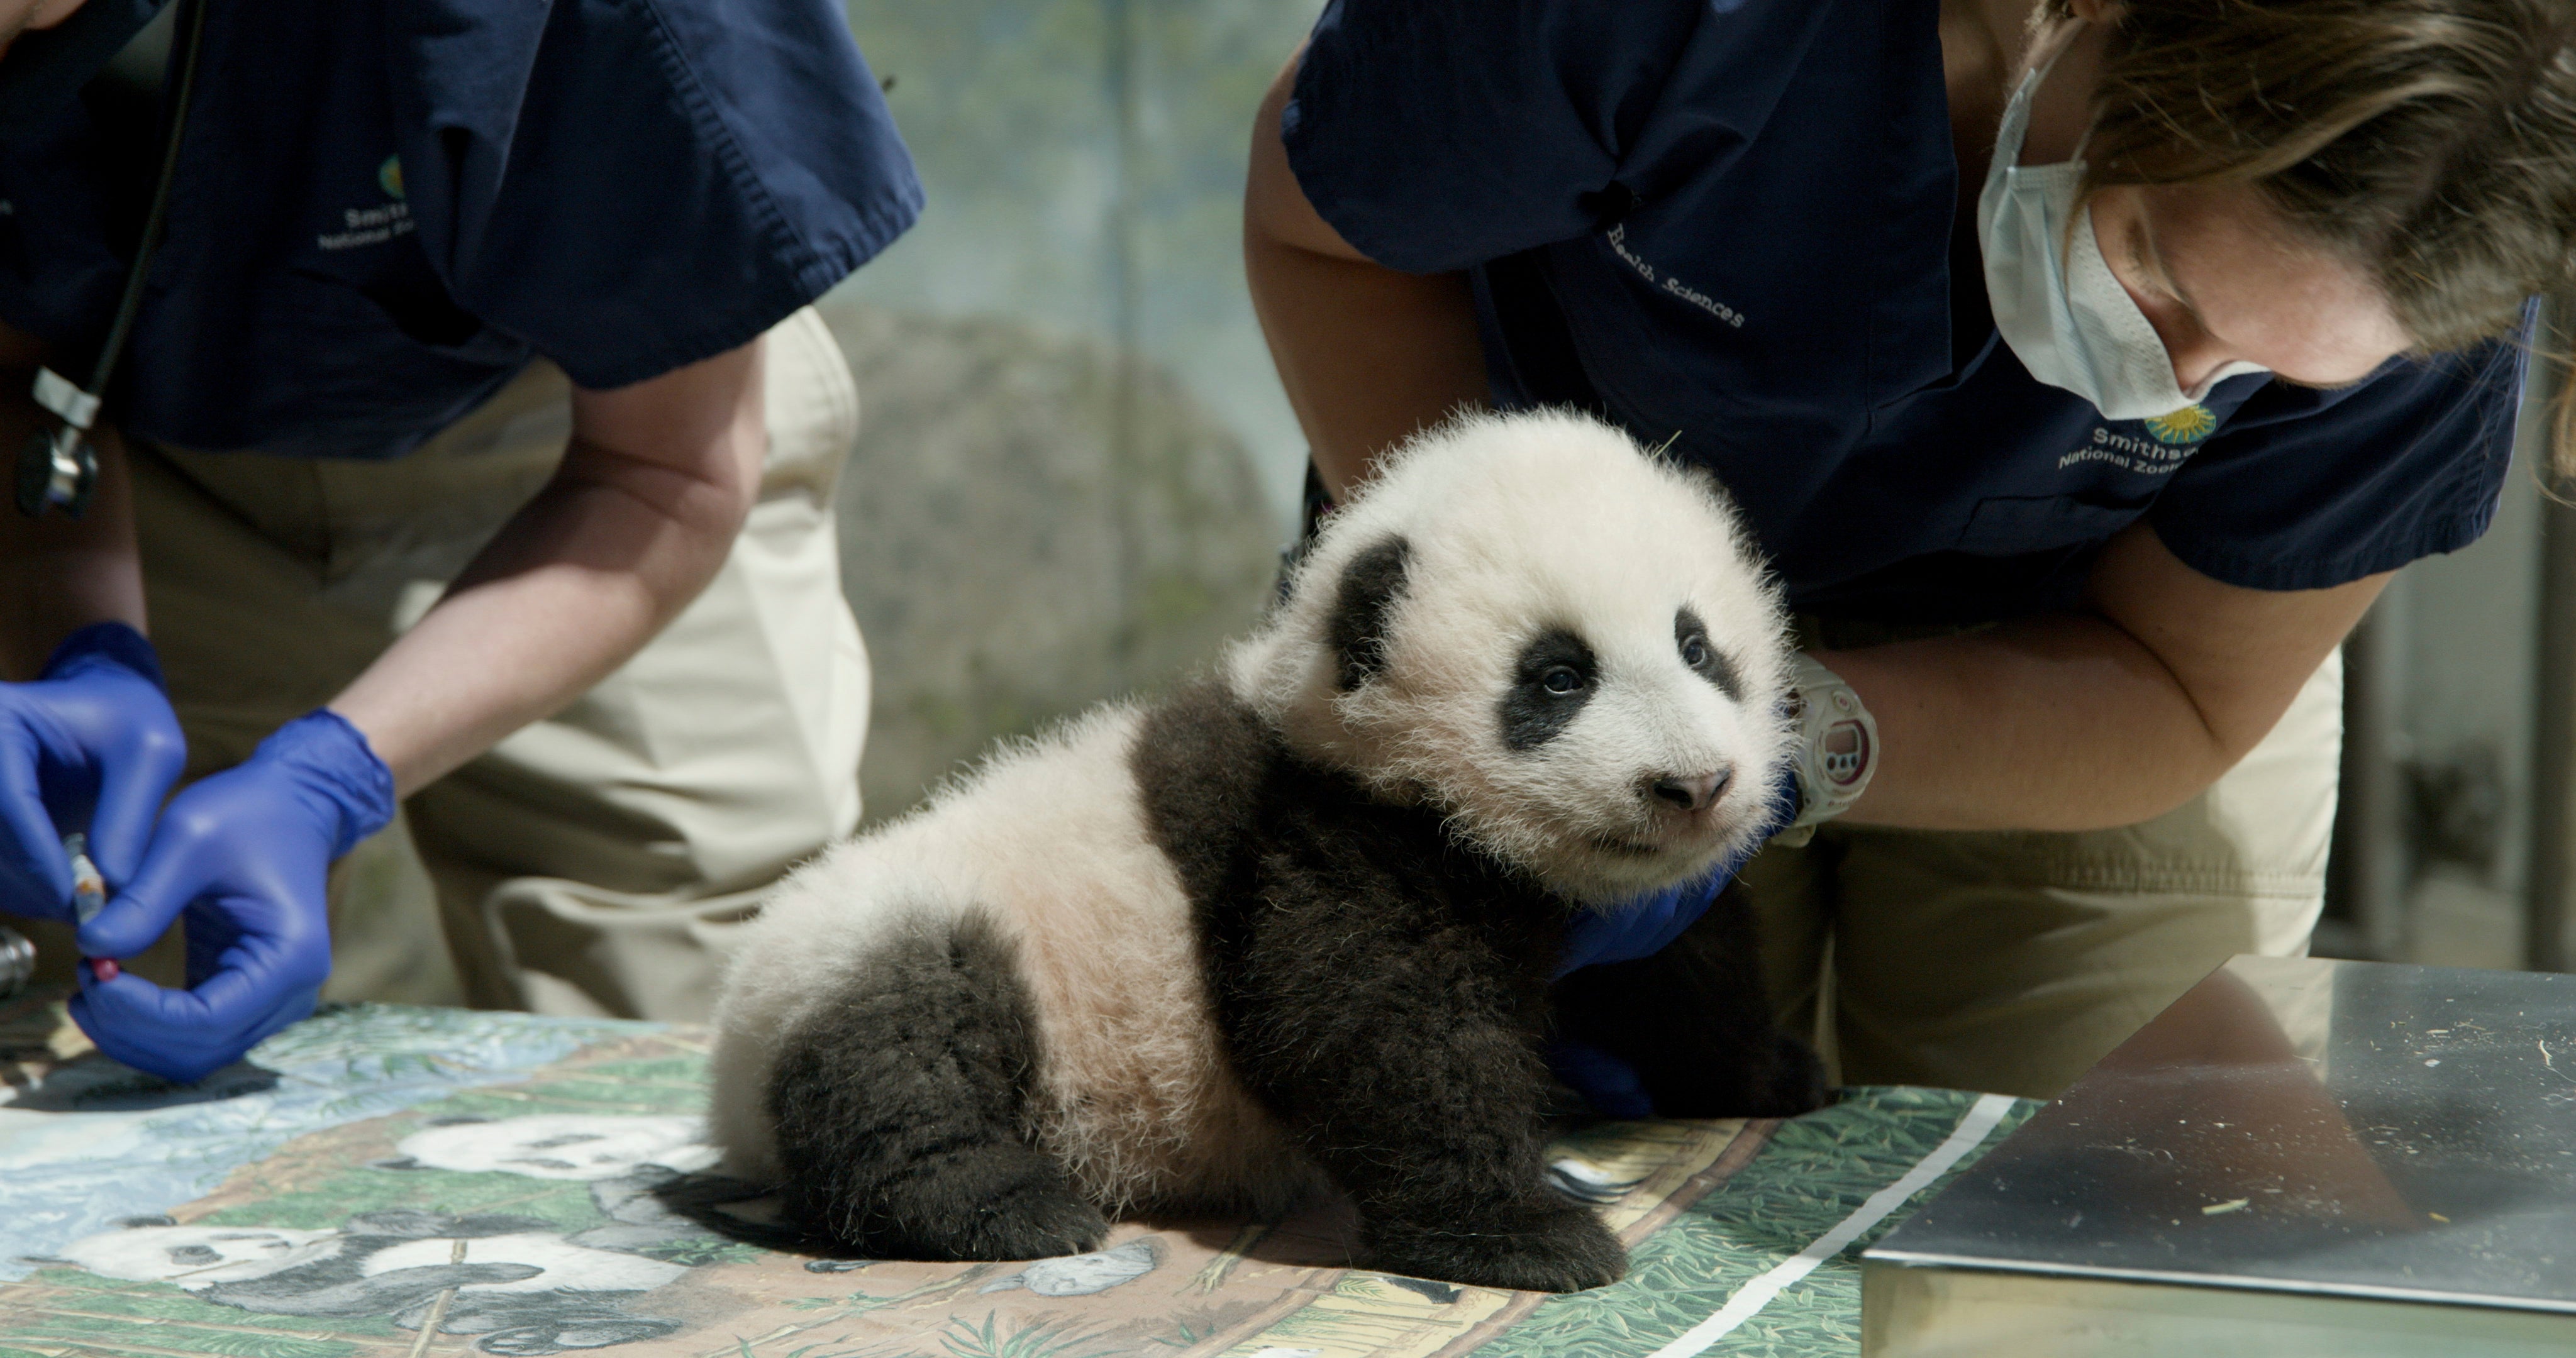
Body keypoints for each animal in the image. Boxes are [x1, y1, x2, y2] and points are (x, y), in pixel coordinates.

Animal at [709, 409, 1827, 1294]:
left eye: (1698, 647)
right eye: (1558, 677)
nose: (1695, 786)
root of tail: (728, 1091)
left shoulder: (1622, 910)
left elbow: (1683, 971)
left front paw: (1769, 1074)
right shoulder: (1320, 833)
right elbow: (1376, 1028)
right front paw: (1528, 1234)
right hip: (888, 939)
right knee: (906, 1045)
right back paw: (1007, 1205)